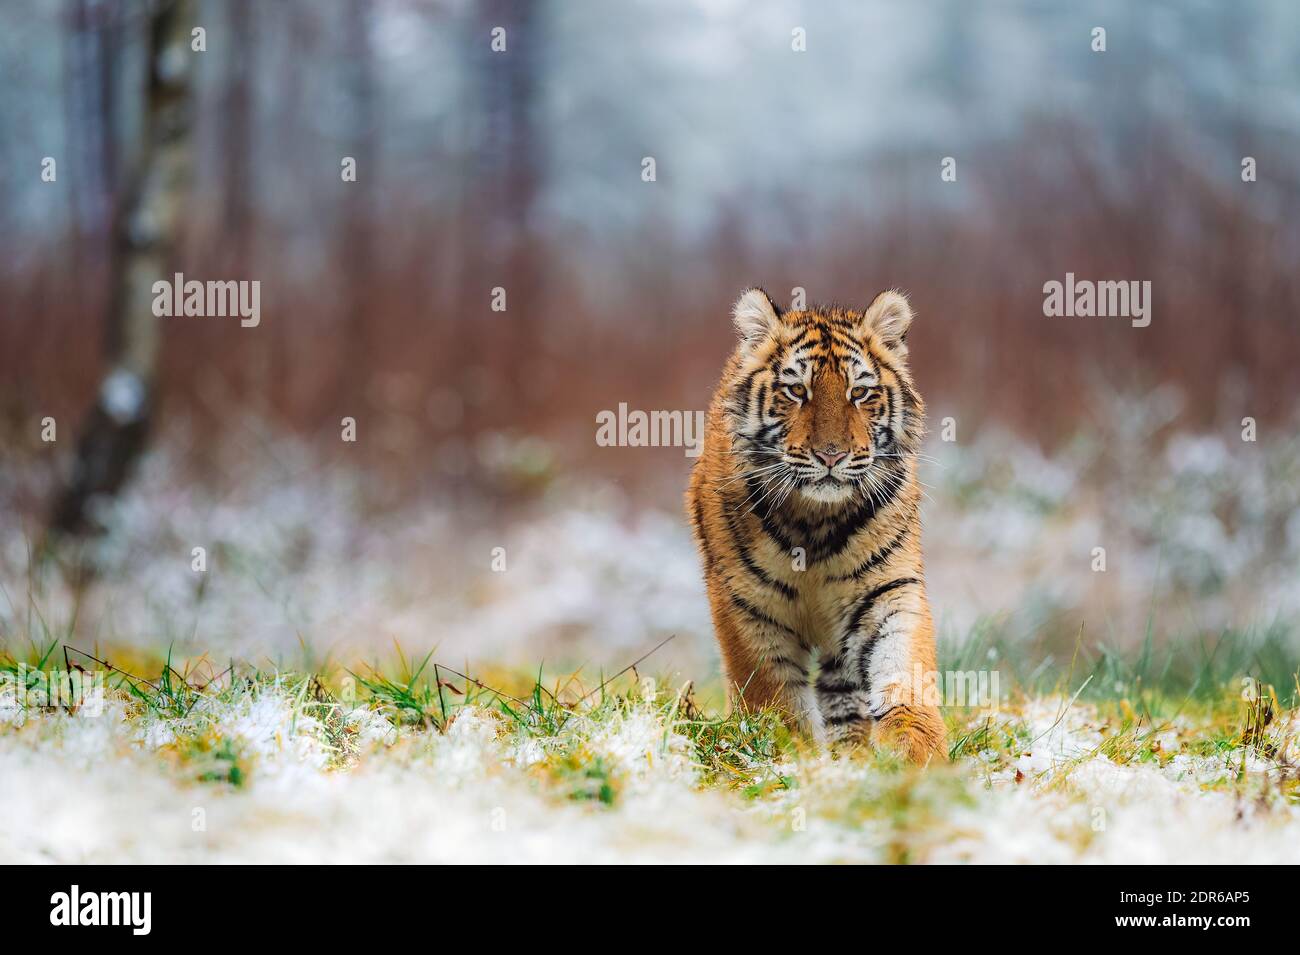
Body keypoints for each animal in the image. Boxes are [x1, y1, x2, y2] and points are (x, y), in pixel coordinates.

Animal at [686, 287, 945, 764]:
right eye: (796, 390)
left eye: (859, 392)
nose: (831, 455)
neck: (816, 521)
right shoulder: (747, 605)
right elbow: (772, 693)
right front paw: (790, 753)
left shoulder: (888, 589)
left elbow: (905, 668)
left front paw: (917, 751)